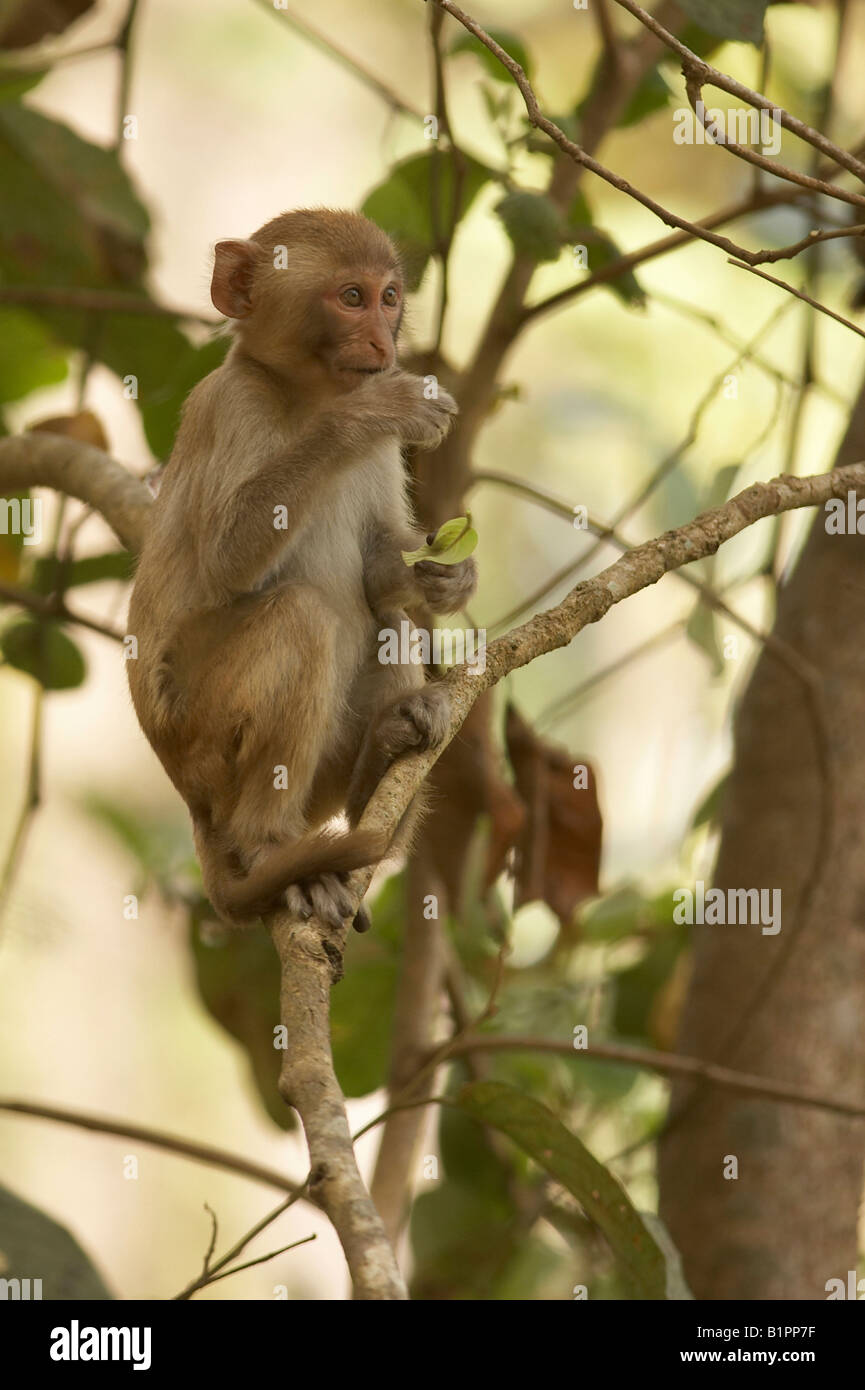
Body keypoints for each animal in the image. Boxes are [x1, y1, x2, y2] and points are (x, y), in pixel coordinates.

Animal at [126, 209, 477, 930]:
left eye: (389, 297)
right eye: (351, 298)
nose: (382, 341)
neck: (308, 396)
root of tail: (194, 806)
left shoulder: (381, 455)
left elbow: (380, 572)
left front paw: (451, 580)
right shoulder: (231, 405)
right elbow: (229, 554)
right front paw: (376, 409)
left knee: (385, 621)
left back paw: (379, 766)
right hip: (201, 743)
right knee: (300, 616)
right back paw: (268, 846)